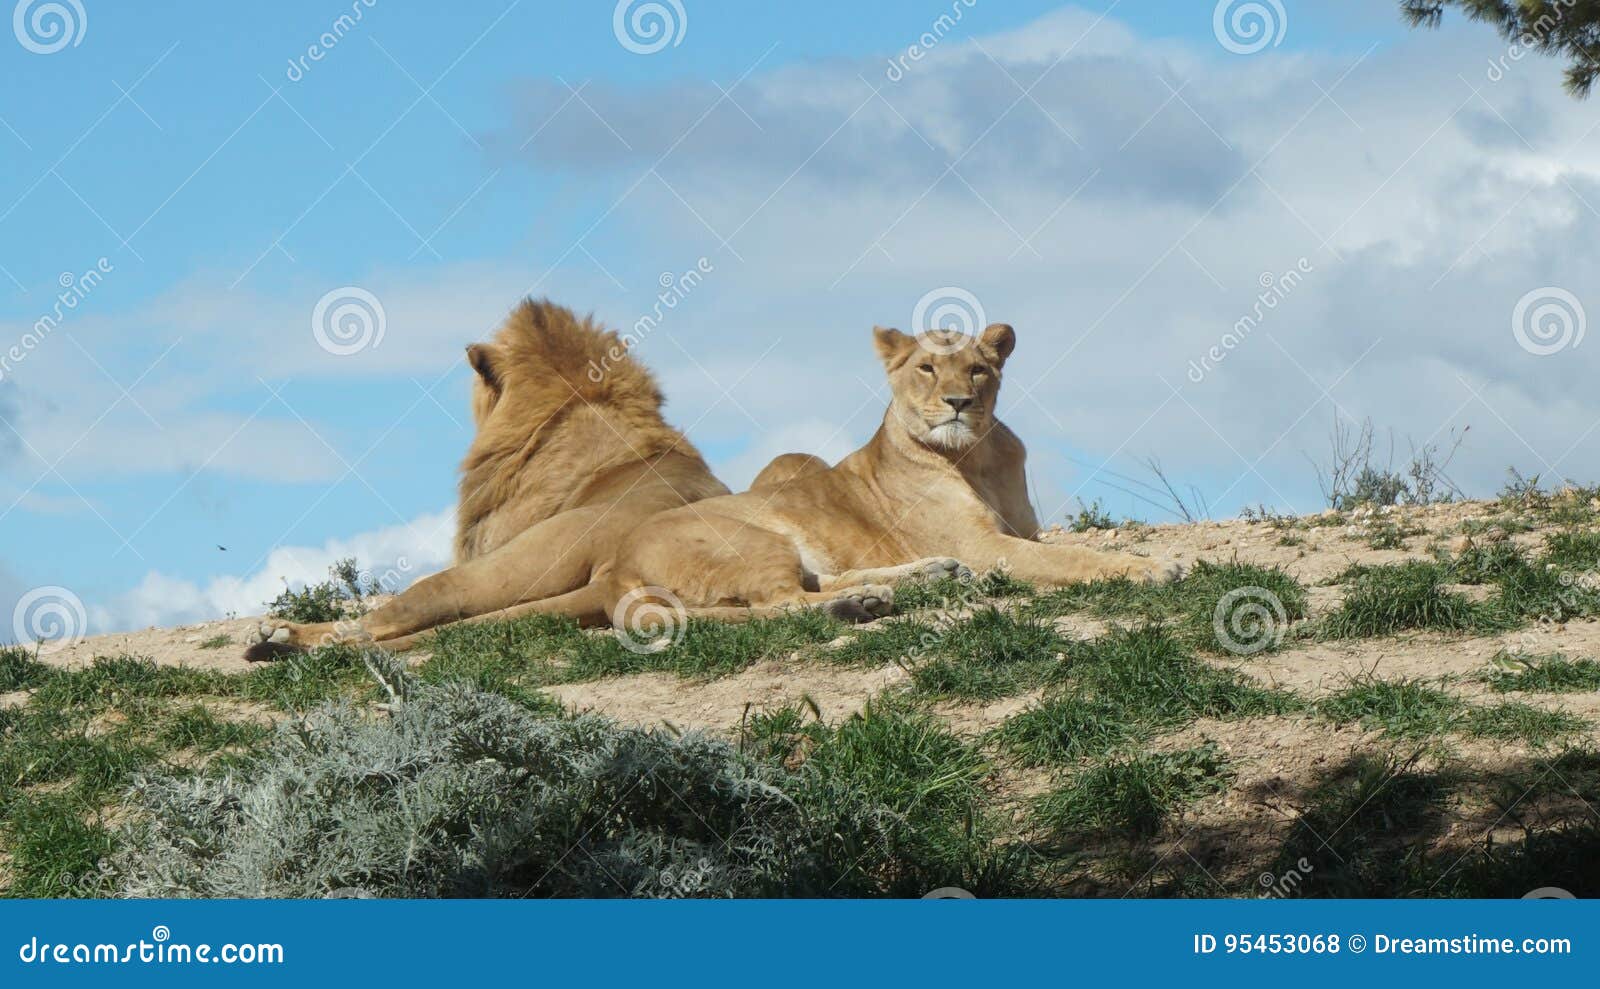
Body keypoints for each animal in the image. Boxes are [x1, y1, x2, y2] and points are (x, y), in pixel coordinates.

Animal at [601, 322, 1178, 626]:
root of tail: (617, 566)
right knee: (779, 604)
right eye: (927, 368)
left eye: (978, 370)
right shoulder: (985, 547)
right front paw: (1152, 568)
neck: (978, 457)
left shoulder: (1019, 534)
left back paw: (923, 576)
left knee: (817, 580)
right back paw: (859, 604)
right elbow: (1070, 558)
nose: (959, 402)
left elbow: (1068, 549)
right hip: (754, 541)